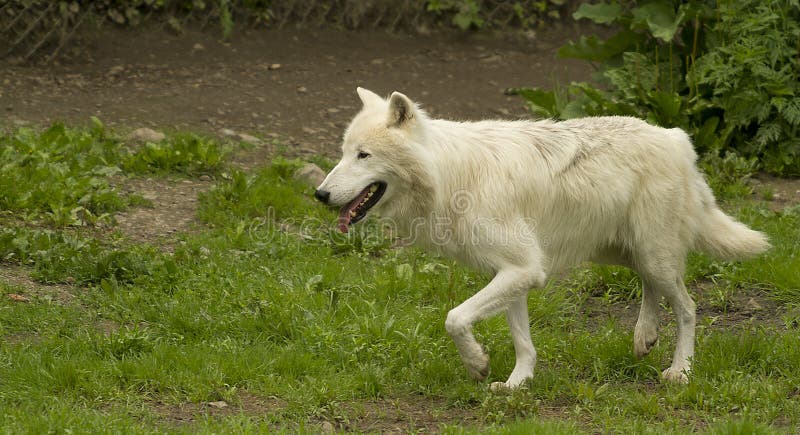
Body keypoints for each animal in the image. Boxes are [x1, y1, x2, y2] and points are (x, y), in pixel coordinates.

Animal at [314, 87, 770, 390]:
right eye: (343, 152)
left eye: (363, 155)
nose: (319, 193)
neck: (450, 174)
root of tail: (677, 137)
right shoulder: (515, 271)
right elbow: (522, 340)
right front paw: (517, 384)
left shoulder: (524, 269)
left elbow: (454, 318)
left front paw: (478, 365)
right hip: (619, 252)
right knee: (651, 286)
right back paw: (644, 336)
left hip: (650, 253)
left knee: (688, 306)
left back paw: (681, 370)